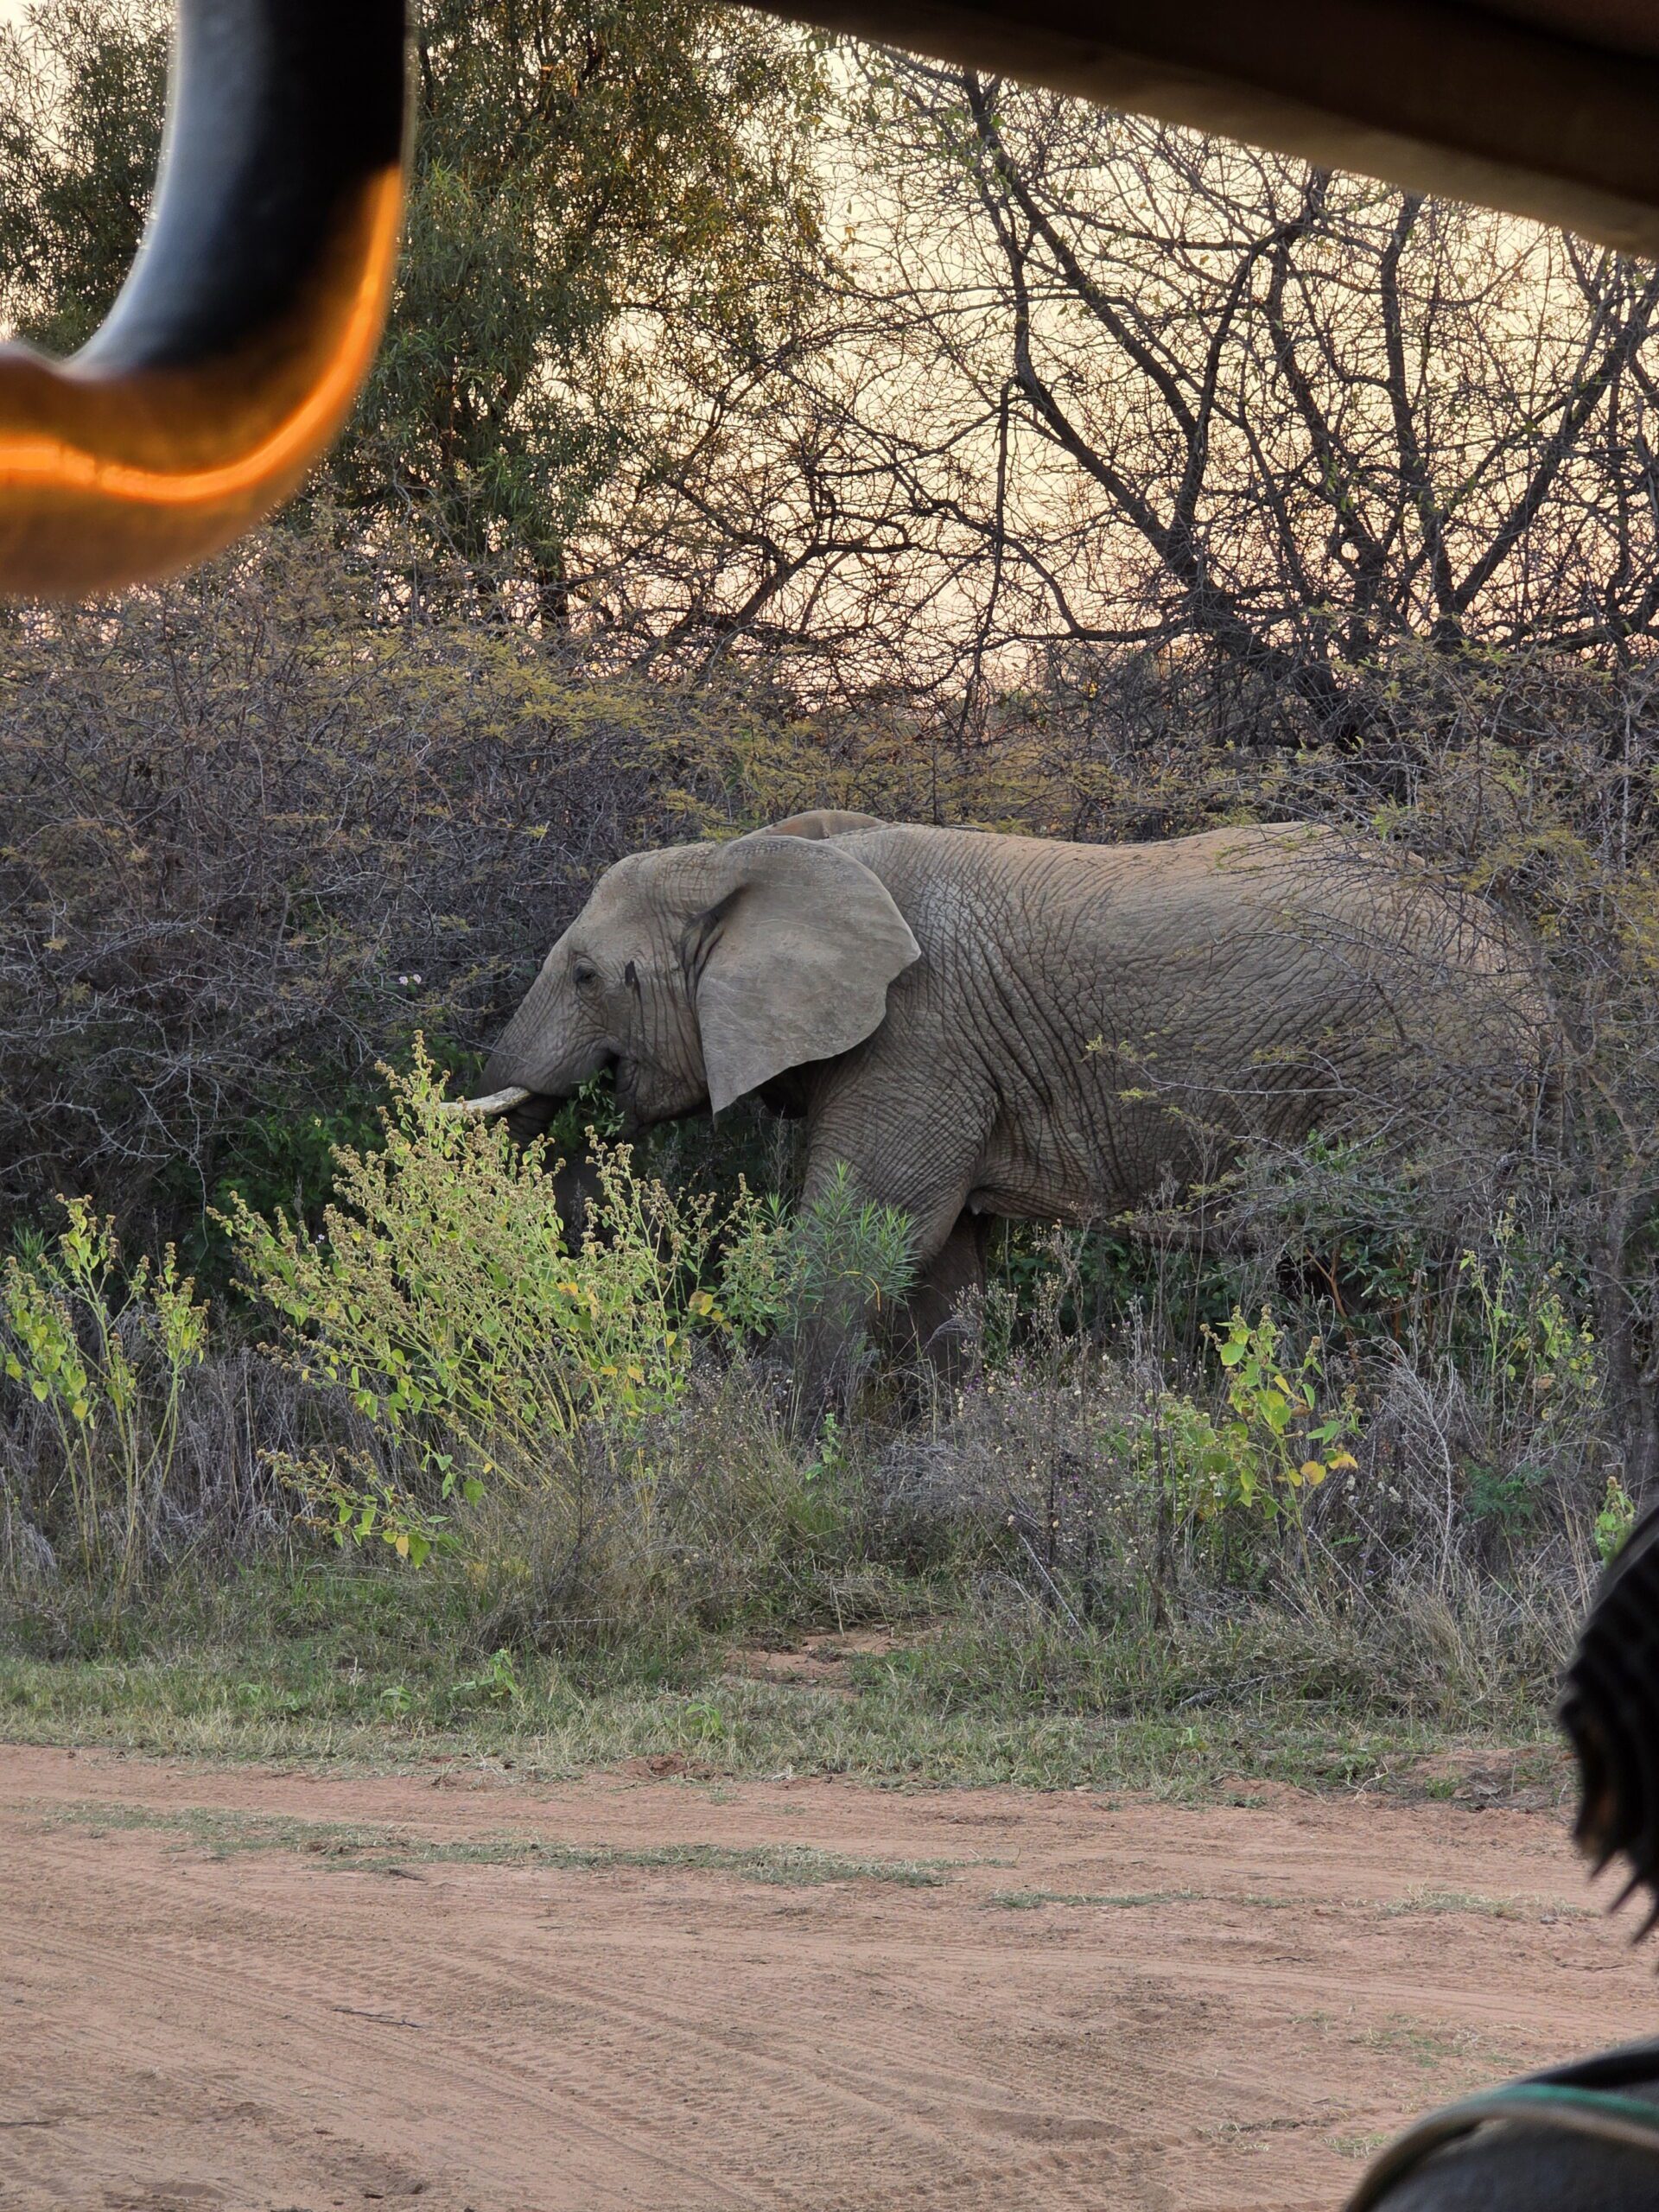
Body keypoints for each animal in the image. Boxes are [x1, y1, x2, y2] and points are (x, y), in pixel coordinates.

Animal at [450, 809, 1551, 1356]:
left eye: (586, 974)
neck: (758, 855)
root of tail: (1524, 958)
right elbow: (943, 1269)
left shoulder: (918, 1036)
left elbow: (859, 1242)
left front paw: (780, 1462)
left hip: (1430, 1074)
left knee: (1415, 1267)